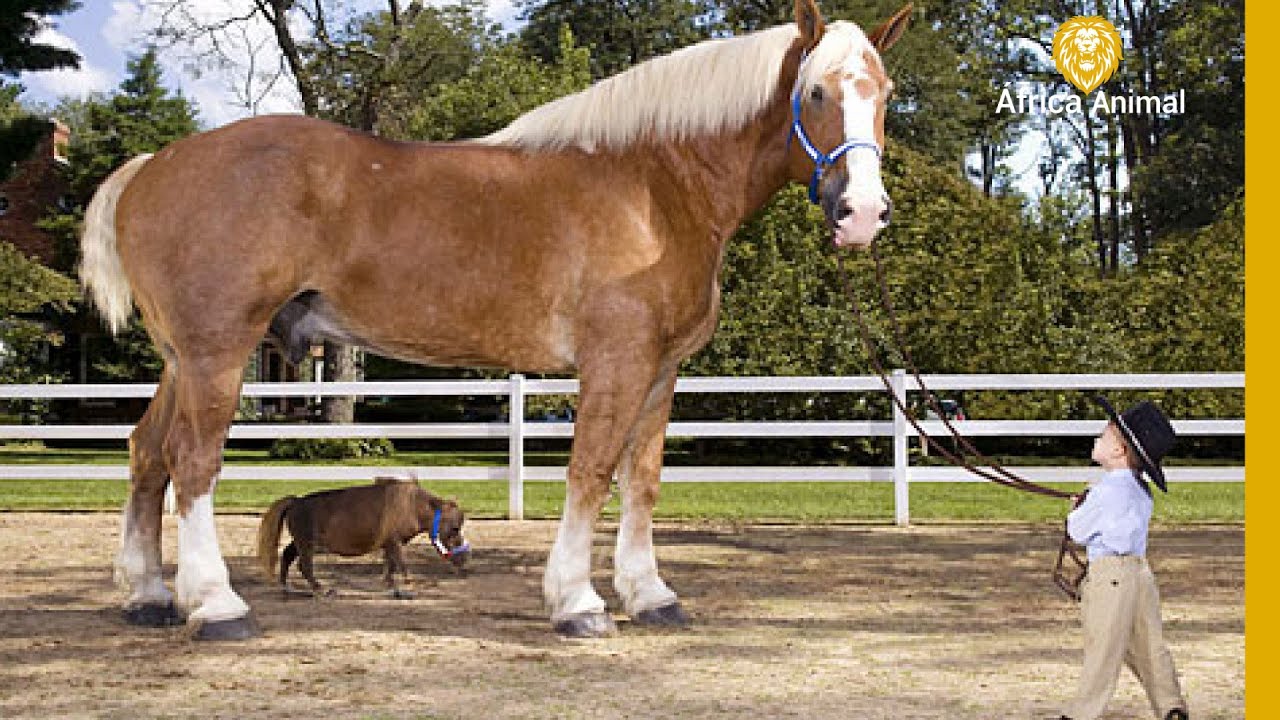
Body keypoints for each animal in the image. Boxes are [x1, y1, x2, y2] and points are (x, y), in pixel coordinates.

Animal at [256, 476, 468, 599]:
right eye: (455, 528)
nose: (463, 560)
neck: (412, 505)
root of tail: (295, 501)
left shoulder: (389, 545)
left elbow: (390, 568)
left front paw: (395, 590)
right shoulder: (395, 543)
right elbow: (402, 566)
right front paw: (410, 588)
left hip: (300, 543)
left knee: (287, 555)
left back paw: (287, 588)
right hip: (307, 545)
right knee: (304, 566)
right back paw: (320, 590)